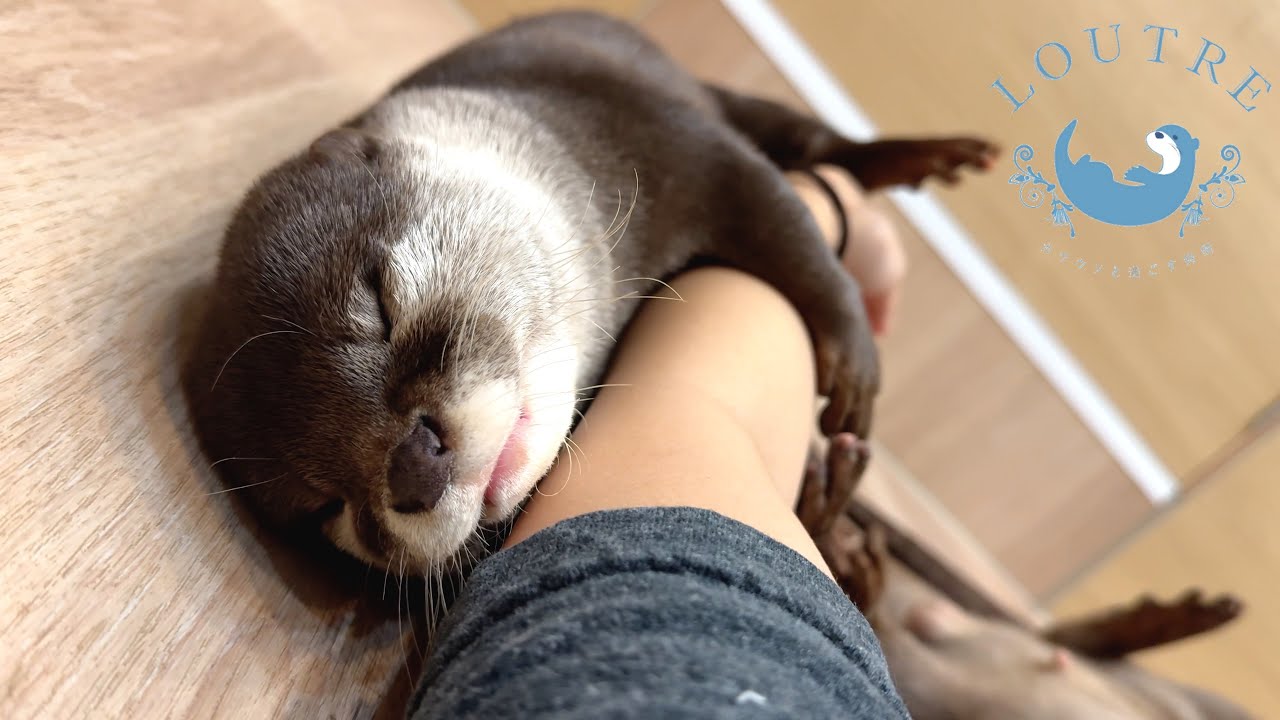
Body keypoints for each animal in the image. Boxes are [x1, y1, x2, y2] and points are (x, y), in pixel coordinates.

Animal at [183, 11, 997, 578]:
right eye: (327, 506)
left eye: (378, 302)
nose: (413, 468)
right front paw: (827, 516)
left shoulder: (675, 140)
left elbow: (792, 230)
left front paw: (853, 363)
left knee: (817, 144)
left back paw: (924, 155)